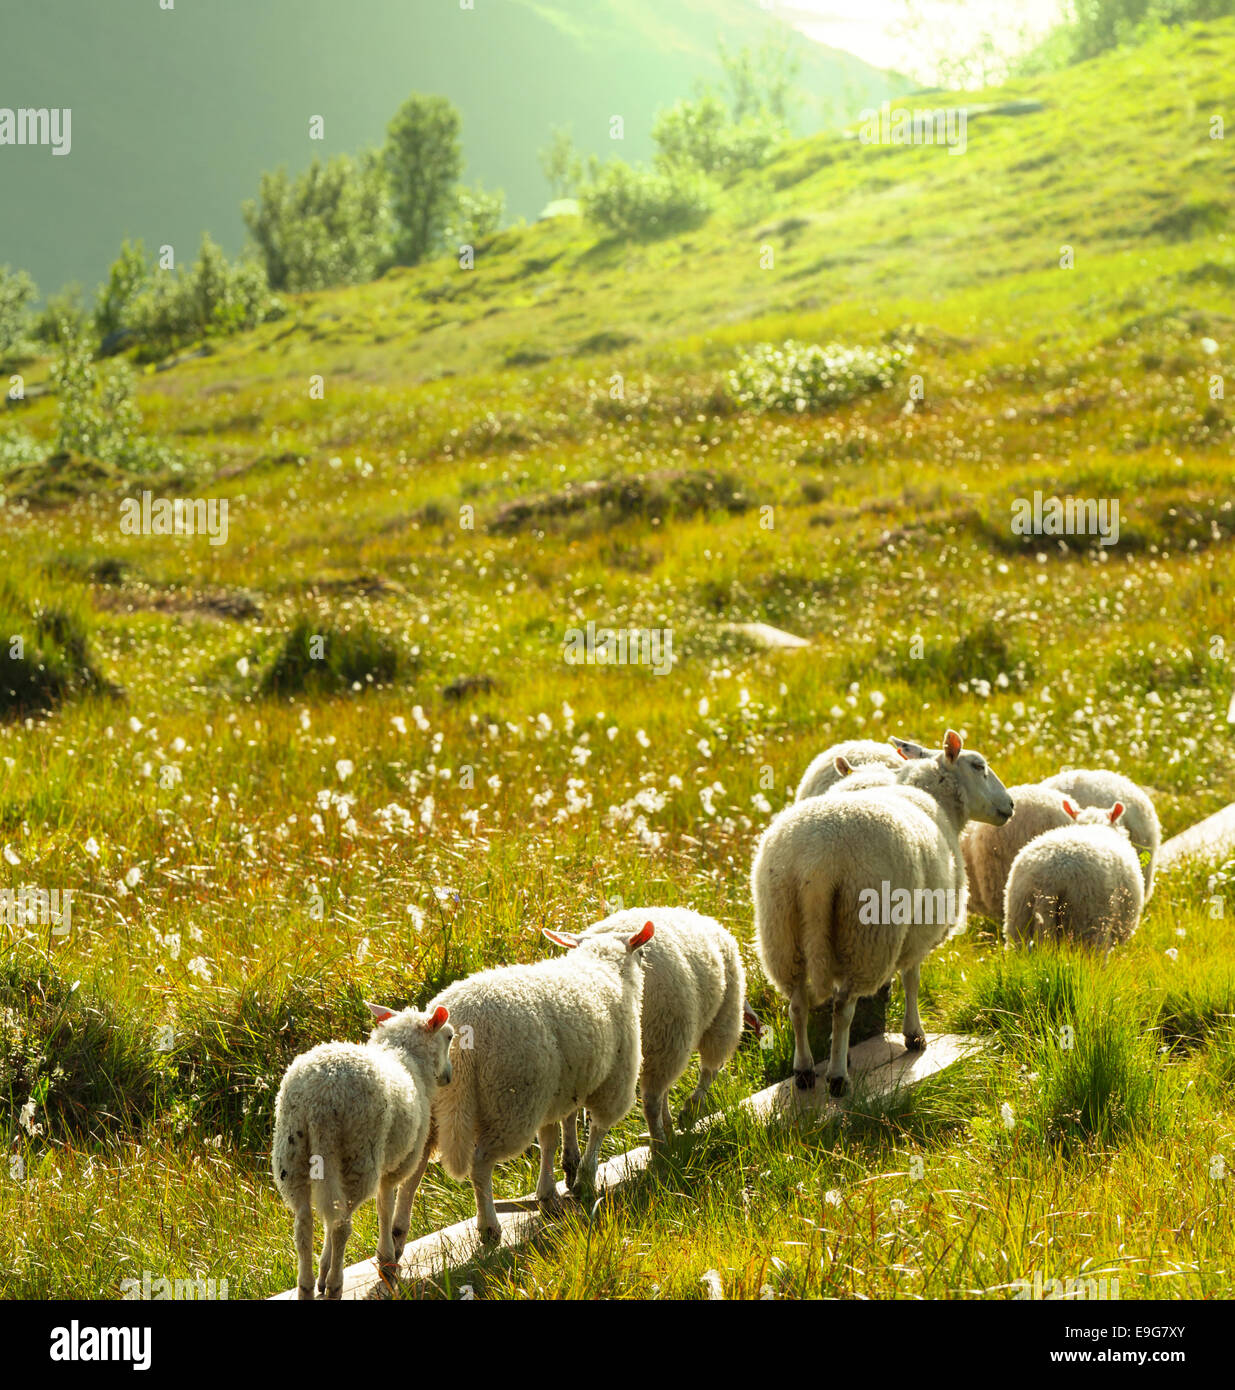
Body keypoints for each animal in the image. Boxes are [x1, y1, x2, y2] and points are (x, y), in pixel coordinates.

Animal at [271, 1002, 453, 1300]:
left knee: (305, 1224)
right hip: (358, 1153)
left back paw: (307, 1285)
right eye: (449, 1036)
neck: (406, 1058)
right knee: (342, 1225)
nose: (449, 1076)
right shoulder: (397, 1163)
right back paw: (335, 1284)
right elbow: (385, 1205)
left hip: (291, 1152)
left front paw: (323, 1267)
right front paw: (387, 1260)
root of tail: (322, 1096)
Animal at [390, 921, 653, 1247]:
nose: (647, 961)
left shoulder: (558, 1088)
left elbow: (552, 1139)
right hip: (510, 1100)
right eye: (641, 952)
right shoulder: (615, 1081)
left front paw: (554, 1186)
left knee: (413, 1173)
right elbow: (598, 1131)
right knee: (480, 1165)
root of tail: (462, 1031)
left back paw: (396, 1238)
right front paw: (585, 1180)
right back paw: (489, 1227)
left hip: (440, 1108)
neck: (602, 965)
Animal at [753, 729, 1013, 1095]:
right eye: (979, 765)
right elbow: (912, 979)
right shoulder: (918, 931)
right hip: (866, 932)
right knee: (843, 1007)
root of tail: (817, 860)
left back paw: (804, 1069)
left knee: (797, 1004)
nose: (1011, 805)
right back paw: (837, 1076)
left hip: (782, 928)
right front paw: (914, 1035)